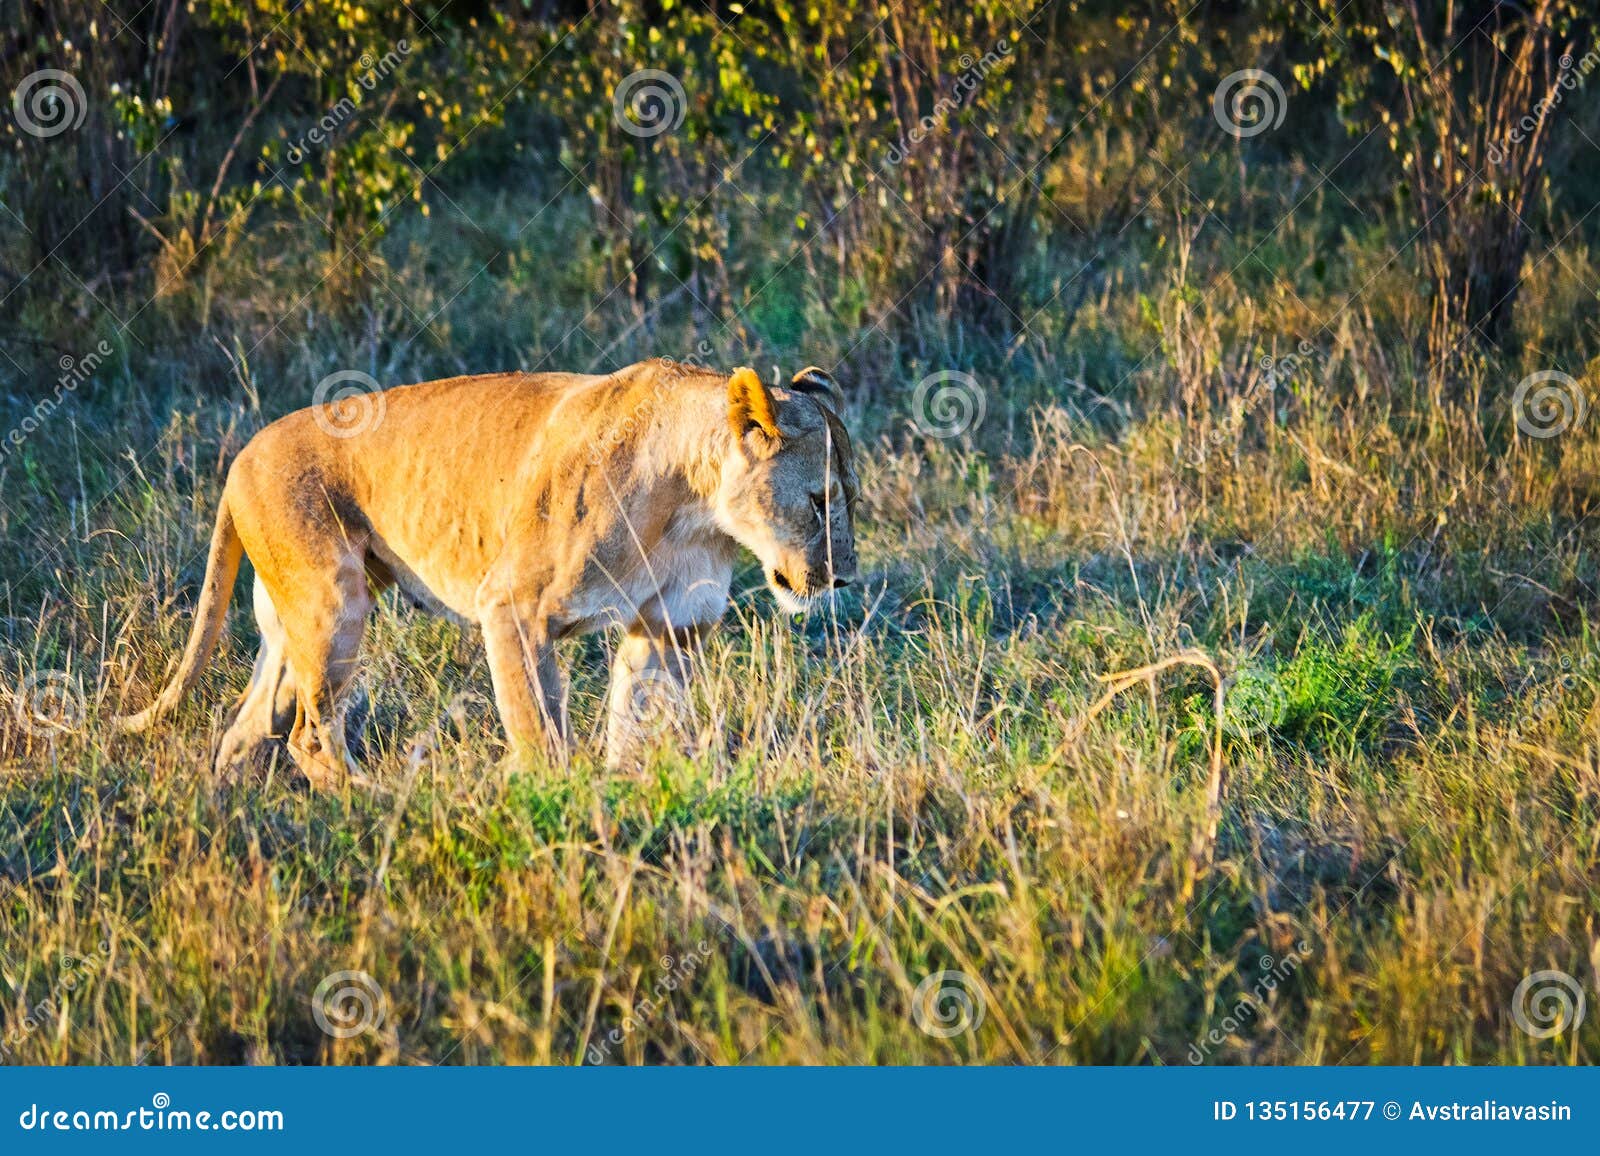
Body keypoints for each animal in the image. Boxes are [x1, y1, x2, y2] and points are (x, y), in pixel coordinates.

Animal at [115, 361, 859, 786]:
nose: (845, 578)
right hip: (333, 604)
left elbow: (635, 724)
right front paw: (552, 808)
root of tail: (242, 455)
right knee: (309, 736)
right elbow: (538, 730)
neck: (693, 508)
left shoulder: (668, 628)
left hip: (288, 624)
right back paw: (387, 801)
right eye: (819, 501)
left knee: (243, 734)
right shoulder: (514, 607)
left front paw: (627, 800)